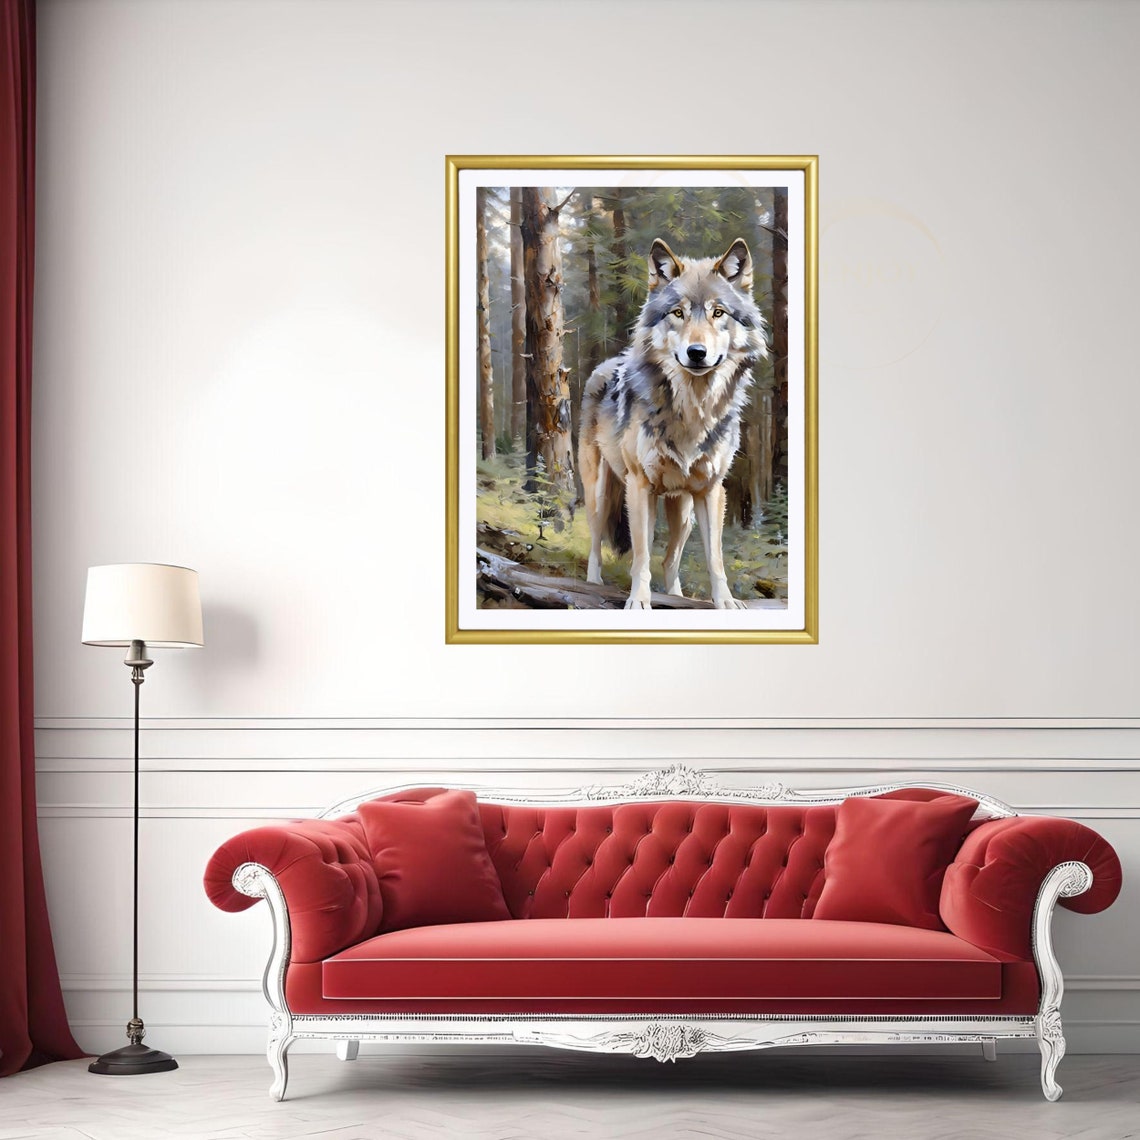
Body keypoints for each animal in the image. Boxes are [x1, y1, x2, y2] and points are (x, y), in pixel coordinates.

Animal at [578, 237, 768, 609]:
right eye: (677, 313)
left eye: (718, 313)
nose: (696, 352)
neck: (692, 410)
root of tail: (606, 363)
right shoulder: (639, 486)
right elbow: (640, 557)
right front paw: (638, 601)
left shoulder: (712, 490)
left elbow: (715, 558)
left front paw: (725, 602)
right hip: (601, 493)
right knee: (596, 542)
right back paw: (593, 583)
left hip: (683, 510)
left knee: (669, 559)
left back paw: (675, 595)